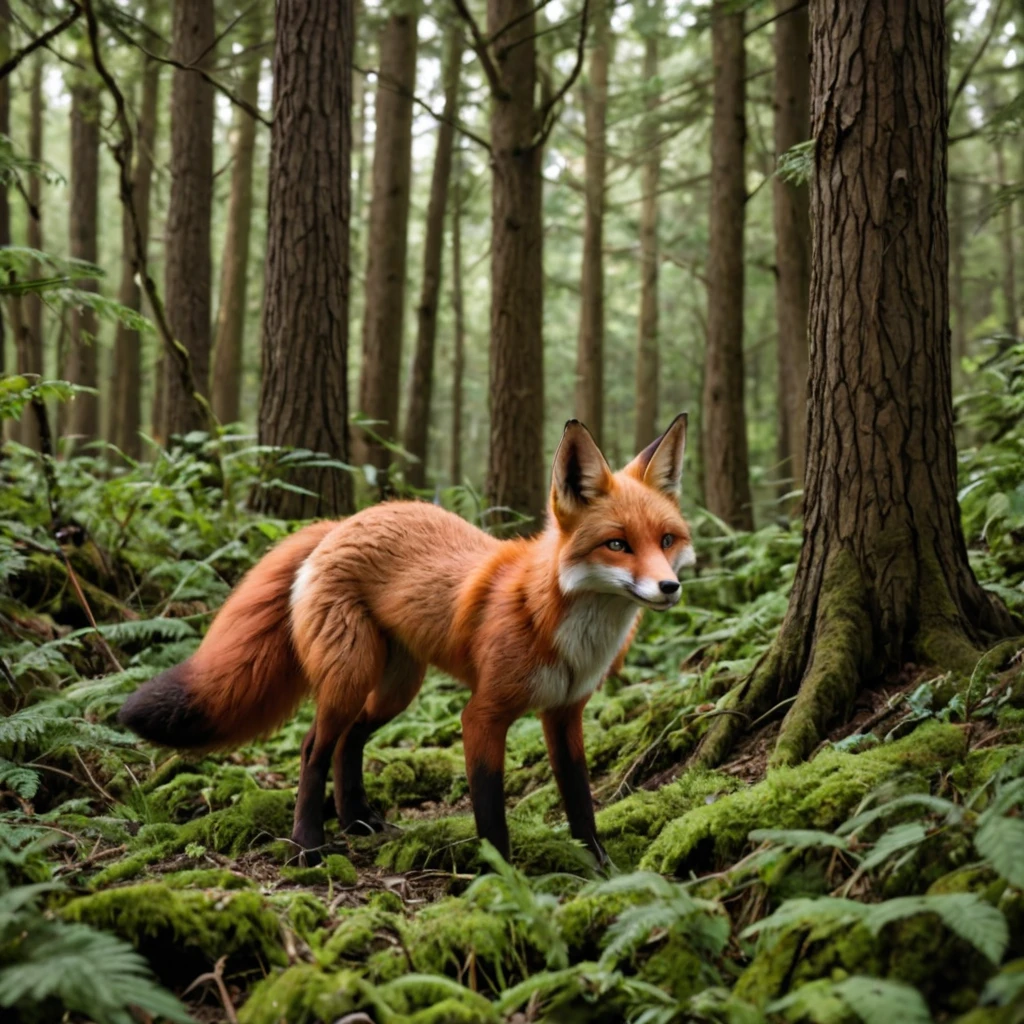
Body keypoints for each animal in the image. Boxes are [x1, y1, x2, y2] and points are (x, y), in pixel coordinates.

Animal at [119, 414, 694, 867]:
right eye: (617, 545)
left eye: (667, 540)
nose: (669, 587)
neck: (556, 622)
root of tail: (346, 519)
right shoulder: (482, 714)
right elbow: (491, 813)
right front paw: (501, 882)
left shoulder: (565, 711)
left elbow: (580, 800)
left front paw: (599, 867)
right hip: (351, 674)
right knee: (313, 747)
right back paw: (309, 844)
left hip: (397, 687)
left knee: (350, 741)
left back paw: (357, 821)